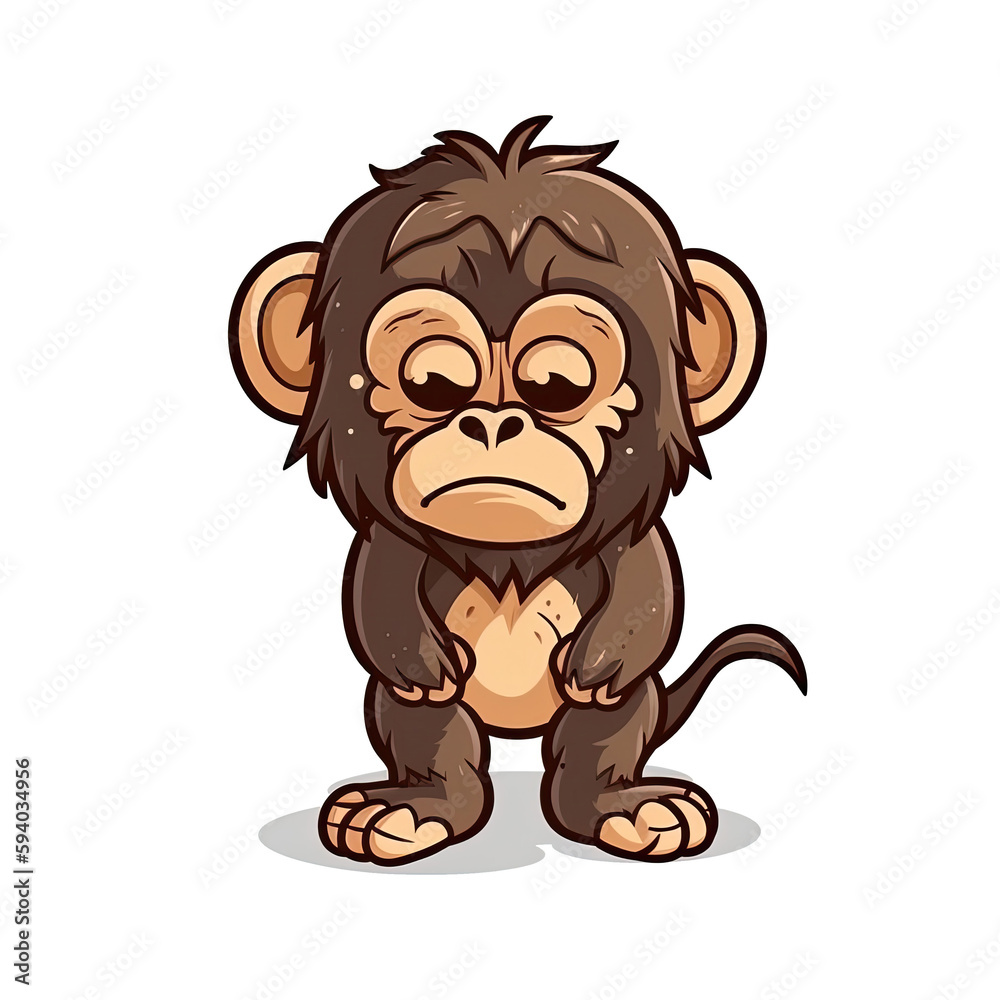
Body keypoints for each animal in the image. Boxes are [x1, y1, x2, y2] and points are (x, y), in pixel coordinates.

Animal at [229, 117, 806, 865]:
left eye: (559, 383)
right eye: (432, 381)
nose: (494, 422)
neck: (508, 557)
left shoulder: (633, 538)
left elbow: (647, 593)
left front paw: (605, 662)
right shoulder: (388, 544)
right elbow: (380, 597)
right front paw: (415, 662)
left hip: (620, 719)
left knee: (601, 734)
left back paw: (625, 809)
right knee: (433, 734)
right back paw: (411, 810)